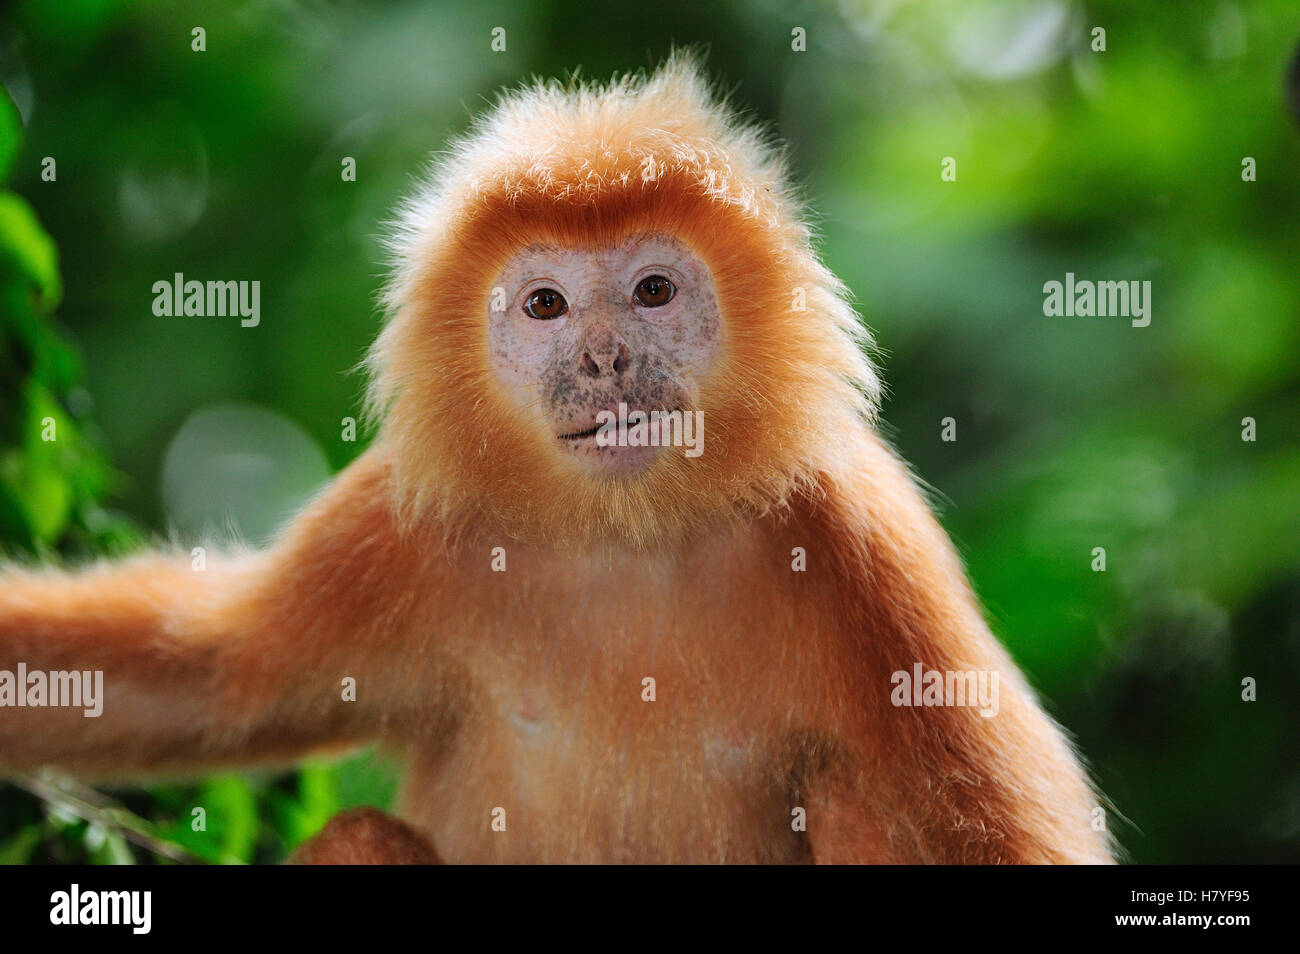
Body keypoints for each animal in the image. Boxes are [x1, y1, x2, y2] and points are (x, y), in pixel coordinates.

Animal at [0, 54, 1114, 864]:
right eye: (545, 305)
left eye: (654, 290)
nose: (603, 357)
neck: (624, 541)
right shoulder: (403, 521)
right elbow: (202, 678)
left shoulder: (861, 537)